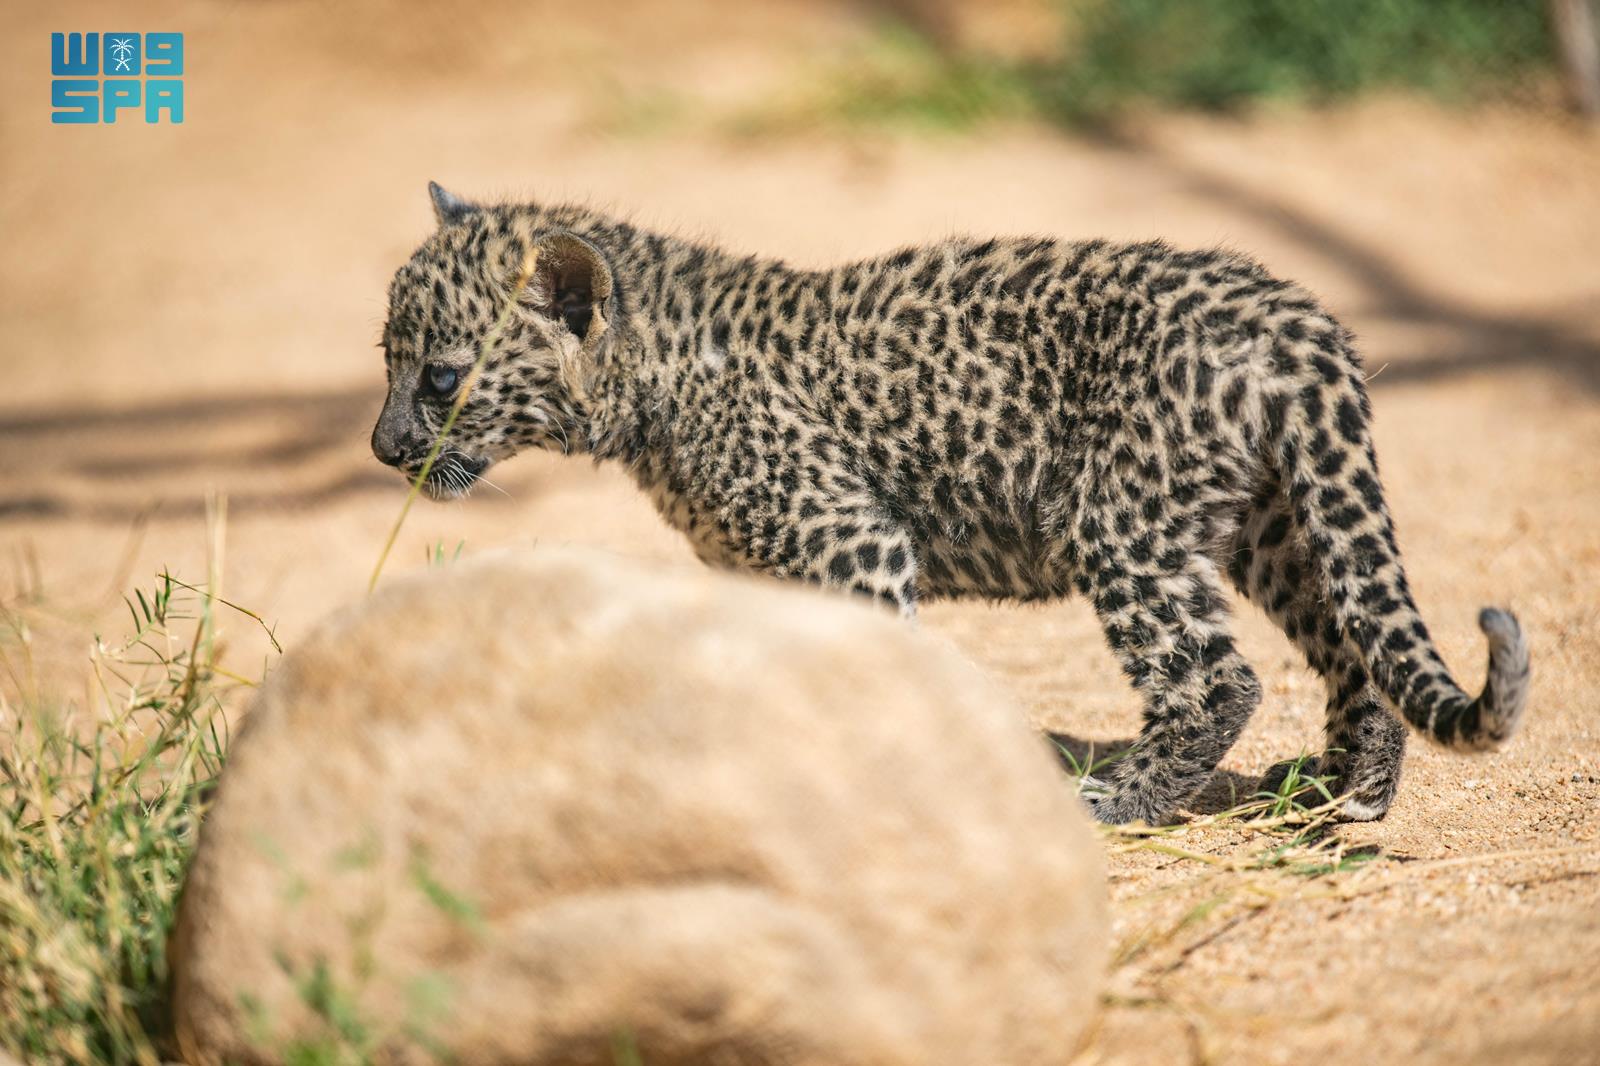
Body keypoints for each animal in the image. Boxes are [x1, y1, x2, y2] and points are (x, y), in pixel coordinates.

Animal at [369, 182, 1531, 825]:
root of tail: (1299, 321)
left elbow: (878, 665)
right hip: (1278, 515)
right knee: (1353, 645)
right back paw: (1342, 792)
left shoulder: (852, 540)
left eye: (440, 377)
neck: (650, 384)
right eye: (384, 361)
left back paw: (1122, 801)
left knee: (1217, 681)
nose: (381, 448)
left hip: (1127, 522)